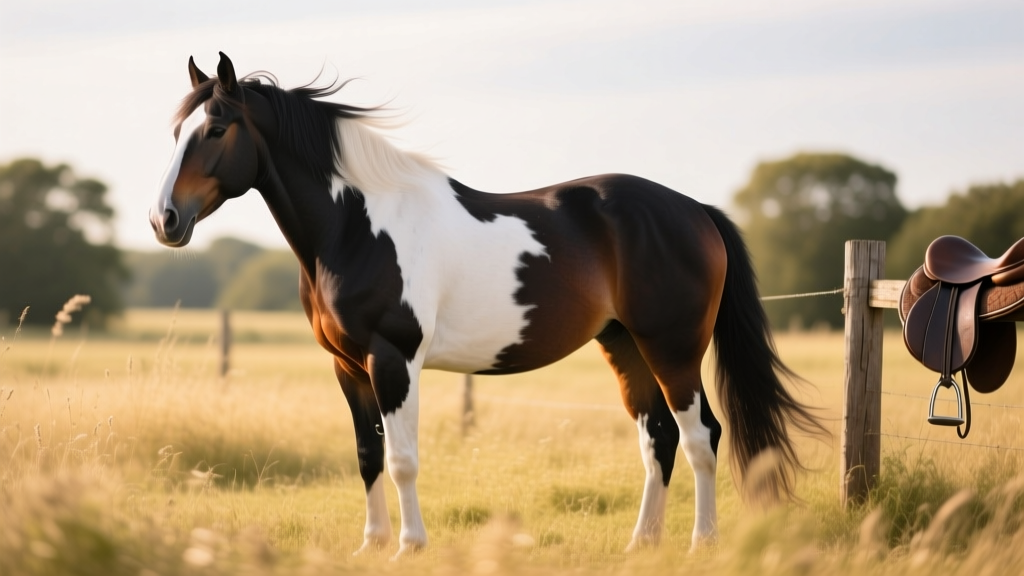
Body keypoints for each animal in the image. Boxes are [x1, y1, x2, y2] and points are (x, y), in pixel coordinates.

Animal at [150, 52, 822, 557]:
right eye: (176, 132)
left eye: (216, 129)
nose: (165, 220)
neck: (357, 226)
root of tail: (695, 209)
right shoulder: (347, 366)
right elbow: (368, 456)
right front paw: (371, 545)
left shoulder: (393, 359)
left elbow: (402, 459)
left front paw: (410, 546)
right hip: (625, 345)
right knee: (657, 436)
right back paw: (641, 545)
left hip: (673, 348)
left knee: (700, 435)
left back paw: (701, 544)